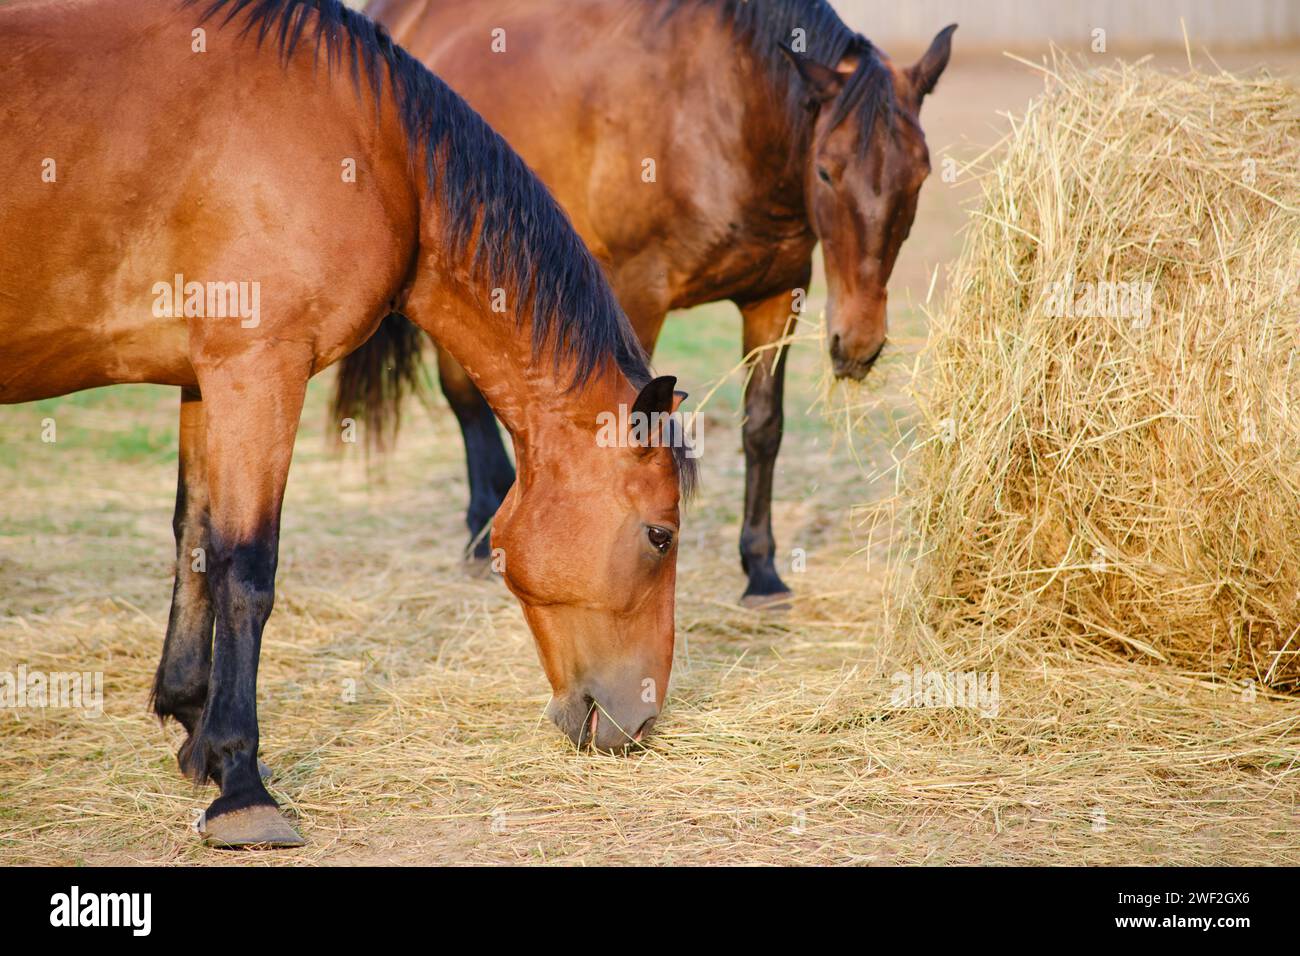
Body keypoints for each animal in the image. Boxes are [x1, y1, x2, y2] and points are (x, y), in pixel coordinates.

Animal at [0, 0, 694, 848]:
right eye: (660, 537)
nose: (642, 721)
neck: (375, 143)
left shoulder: (206, 377)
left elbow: (195, 539)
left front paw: (195, 732)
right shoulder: (258, 367)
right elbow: (246, 568)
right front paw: (241, 785)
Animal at [341, 0, 954, 607]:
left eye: (921, 175)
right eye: (825, 170)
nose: (859, 343)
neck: (726, 115)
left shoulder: (776, 296)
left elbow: (763, 427)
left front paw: (762, 571)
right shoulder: (639, 294)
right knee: (463, 394)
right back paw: (477, 534)